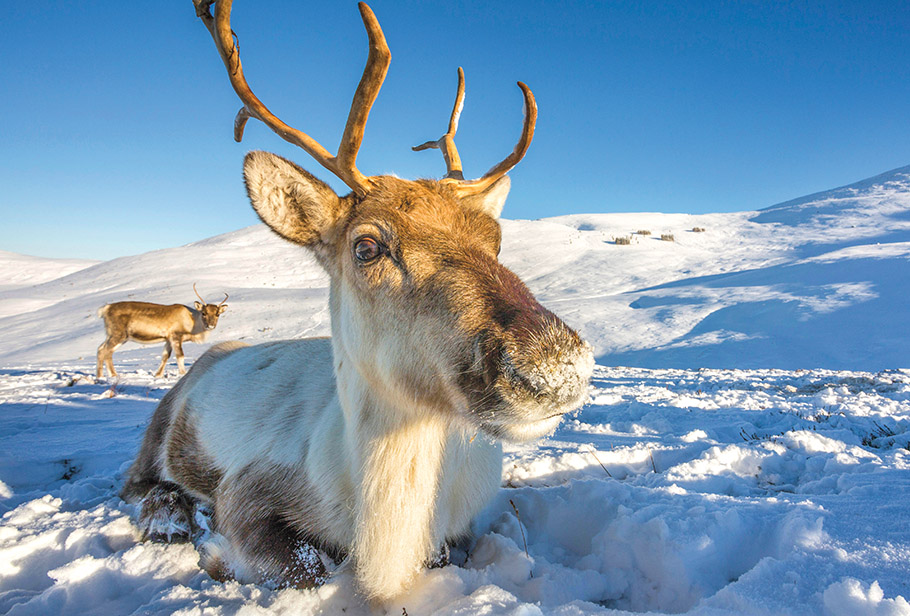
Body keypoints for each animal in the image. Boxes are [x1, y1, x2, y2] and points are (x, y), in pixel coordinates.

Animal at [96, 284, 228, 379]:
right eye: (204, 313)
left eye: (217, 314)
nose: (210, 325)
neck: (193, 322)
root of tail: (105, 309)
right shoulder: (176, 336)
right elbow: (180, 356)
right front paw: (183, 373)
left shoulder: (168, 339)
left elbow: (165, 356)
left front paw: (158, 375)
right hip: (118, 334)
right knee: (105, 350)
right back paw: (108, 375)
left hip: (115, 335)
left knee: (102, 349)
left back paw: (105, 375)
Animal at [120, 0, 594, 606]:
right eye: (366, 245)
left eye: (495, 238)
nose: (556, 367)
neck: (384, 531)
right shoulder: (246, 488)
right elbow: (303, 569)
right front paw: (216, 553)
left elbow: (441, 554)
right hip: (162, 423)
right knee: (137, 484)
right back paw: (172, 516)